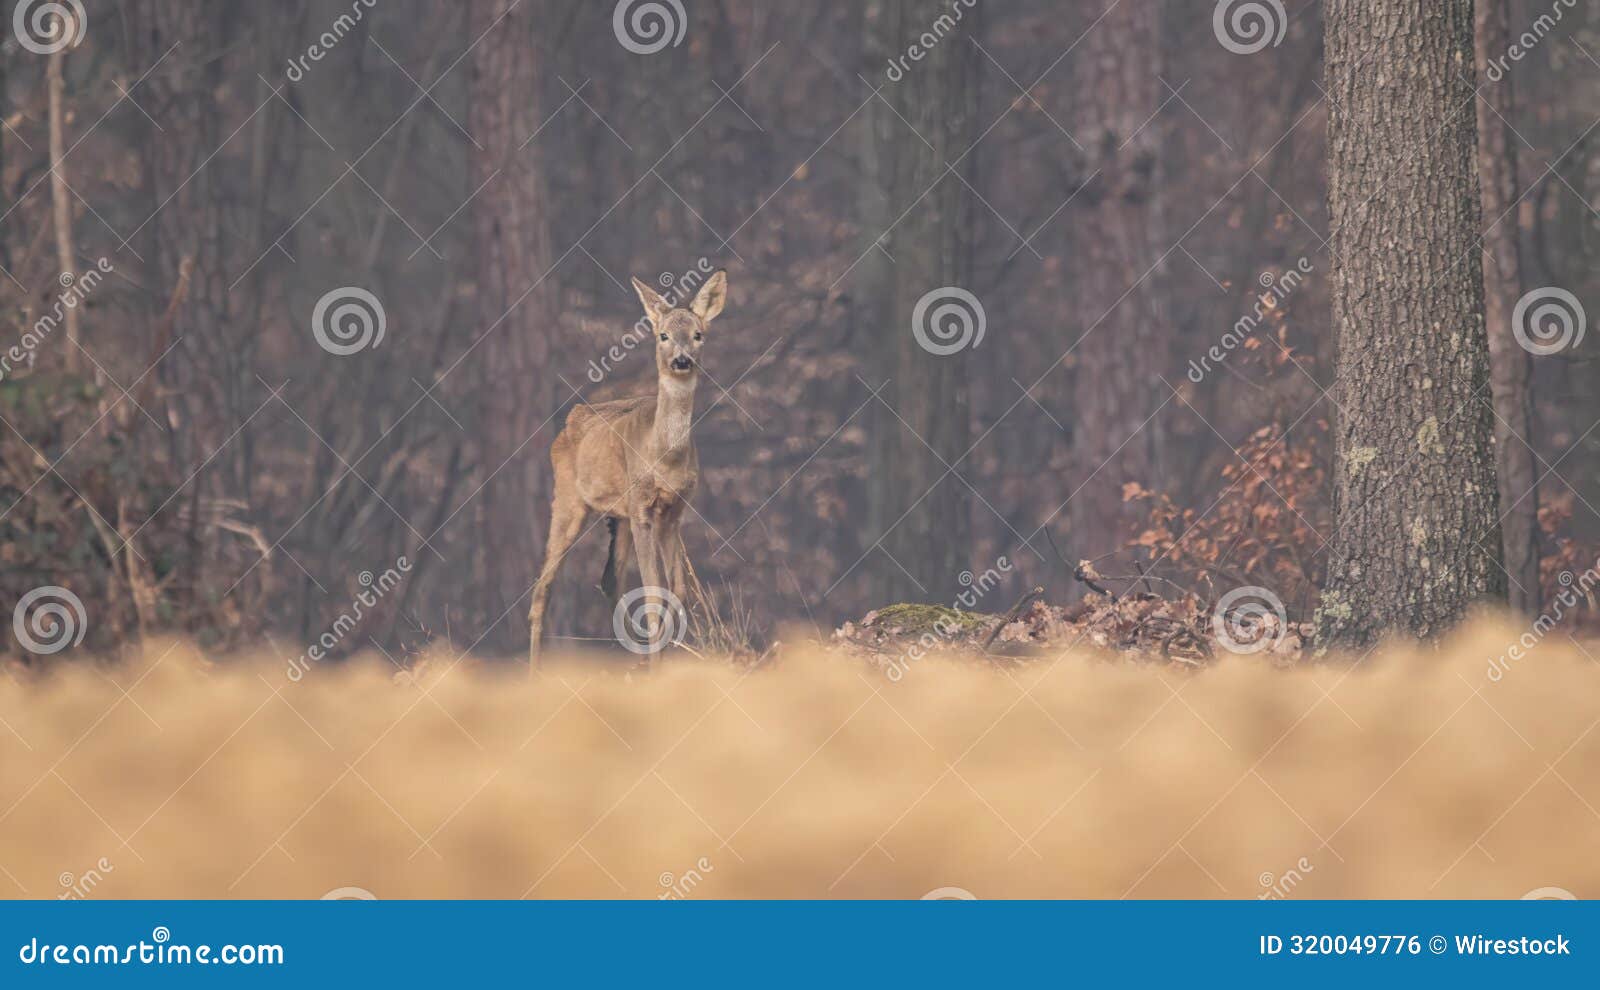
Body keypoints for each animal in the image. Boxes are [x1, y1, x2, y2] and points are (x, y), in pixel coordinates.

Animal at [528, 268, 728, 670]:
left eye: (698, 334)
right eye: (663, 335)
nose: (681, 360)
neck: (664, 456)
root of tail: (568, 423)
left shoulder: (675, 510)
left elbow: (677, 590)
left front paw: (665, 658)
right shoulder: (641, 506)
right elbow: (652, 592)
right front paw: (656, 663)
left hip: (616, 515)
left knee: (609, 580)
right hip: (569, 500)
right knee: (543, 585)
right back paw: (533, 669)